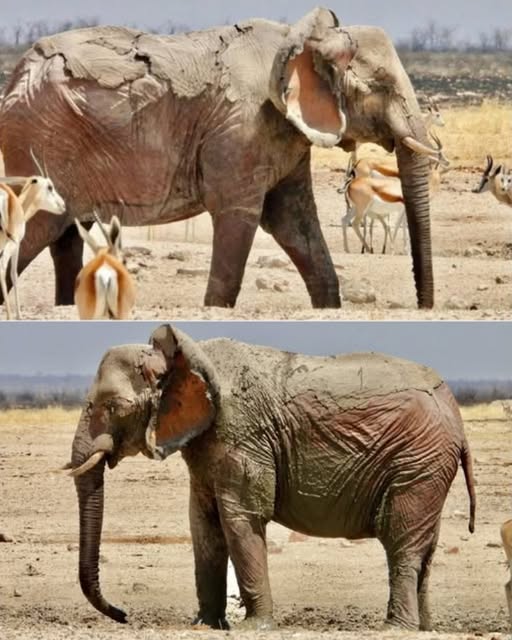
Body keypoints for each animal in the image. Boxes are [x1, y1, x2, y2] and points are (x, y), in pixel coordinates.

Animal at [0, 8, 442, 310]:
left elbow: (294, 224)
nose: (423, 305)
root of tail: (17, 75)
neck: (302, 39)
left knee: (66, 240)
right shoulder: (241, 130)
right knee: (36, 232)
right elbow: (239, 218)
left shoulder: (285, 135)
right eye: (382, 86)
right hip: (39, 143)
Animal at [67, 324, 476, 631]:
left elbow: (240, 519)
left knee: (402, 543)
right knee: (425, 550)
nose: (123, 615)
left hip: (417, 461)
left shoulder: (244, 435)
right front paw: (204, 626)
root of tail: (455, 416)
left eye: (112, 406)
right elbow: (203, 524)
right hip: (427, 464)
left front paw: (253, 627)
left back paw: (394, 629)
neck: (188, 358)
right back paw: (423, 629)